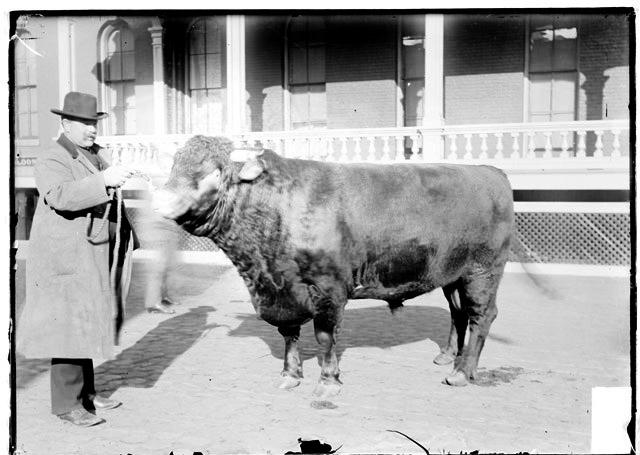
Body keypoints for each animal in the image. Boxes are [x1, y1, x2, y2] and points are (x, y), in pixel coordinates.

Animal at [152, 135, 515, 396]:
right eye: (174, 166)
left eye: (212, 171)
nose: (161, 200)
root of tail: (490, 171)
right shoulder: (286, 293)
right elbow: (289, 334)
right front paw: (290, 375)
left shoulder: (329, 290)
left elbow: (325, 336)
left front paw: (327, 381)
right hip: (452, 275)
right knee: (459, 313)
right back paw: (448, 357)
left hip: (483, 271)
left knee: (482, 316)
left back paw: (462, 372)